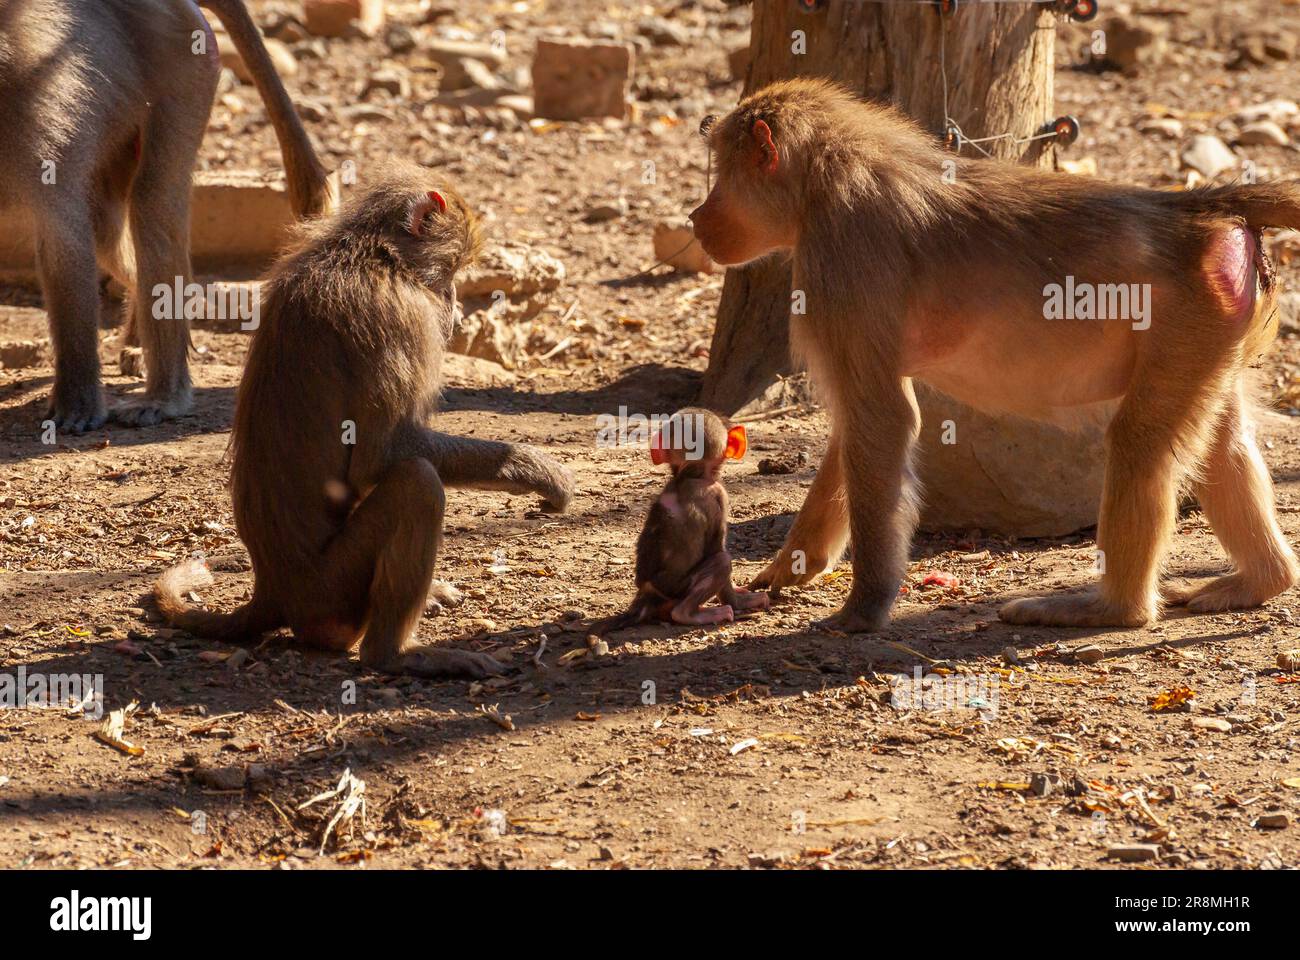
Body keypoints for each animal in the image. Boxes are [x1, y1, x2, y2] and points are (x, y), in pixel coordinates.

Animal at [0, 0, 332, 433]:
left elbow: (65, 242)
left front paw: (77, 408)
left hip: (188, 66)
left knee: (151, 205)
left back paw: (164, 396)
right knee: (107, 234)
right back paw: (137, 340)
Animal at [153, 162, 574, 678]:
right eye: (451, 269)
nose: (453, 302)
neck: (375, 255)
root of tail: (270, 589)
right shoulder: (398, 316)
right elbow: (381, 455)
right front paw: (534, 469)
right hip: (330, 594)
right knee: (416, 483)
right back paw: (394, 655)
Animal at [590, 408, 769, 634]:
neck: (689, 474)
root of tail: (646, 597)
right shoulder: (719, 494)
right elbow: (716, 549)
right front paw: (741, 600)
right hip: (677, 590)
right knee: (721, 561)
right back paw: (691, 614)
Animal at [690, 78, 1300, 631]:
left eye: (723, 175)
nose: (697, 219)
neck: (825, 179)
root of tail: (1191, 208)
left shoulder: (835, 265)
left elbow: (882, 420)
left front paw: (863, 609)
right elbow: (856, 428)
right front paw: (791, 568)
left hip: (1190, 317)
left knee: (1139, 442)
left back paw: (1109, 609)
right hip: (1213, 329)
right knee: (1220, 443)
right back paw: (1261, 581)